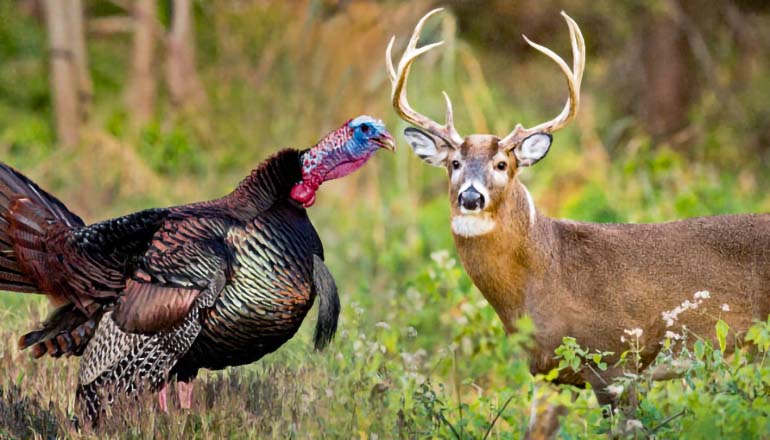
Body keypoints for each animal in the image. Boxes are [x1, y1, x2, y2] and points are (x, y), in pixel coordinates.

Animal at [386, 8, 770, 409]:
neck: (547, 274)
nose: (471, 198)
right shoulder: (560, 371)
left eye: (502, 164)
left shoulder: (615, 356)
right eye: (454, 163)